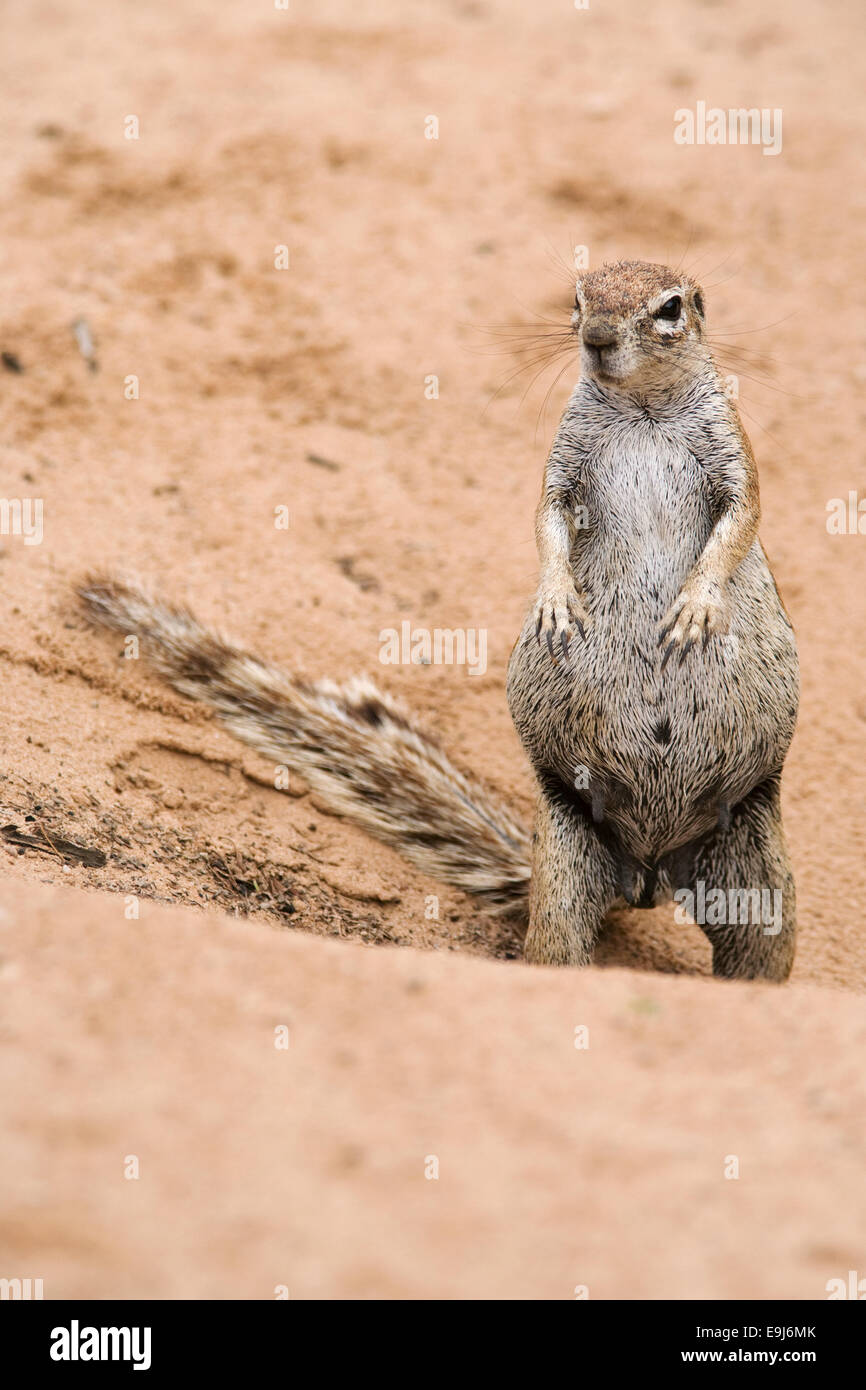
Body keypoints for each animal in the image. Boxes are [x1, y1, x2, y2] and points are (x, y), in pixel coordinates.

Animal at [75, 258, 799, 982]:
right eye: (578, 296)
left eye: (670, 307)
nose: (595, 338)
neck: (643, 409)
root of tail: (649, 875)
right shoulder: (564, 465)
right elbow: (546, 521)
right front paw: (555, 600)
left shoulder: (733, 456)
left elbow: (741, 519)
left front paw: (697, 605)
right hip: (568, 864)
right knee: (559, 946)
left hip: (754, 874)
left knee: (760, 952)